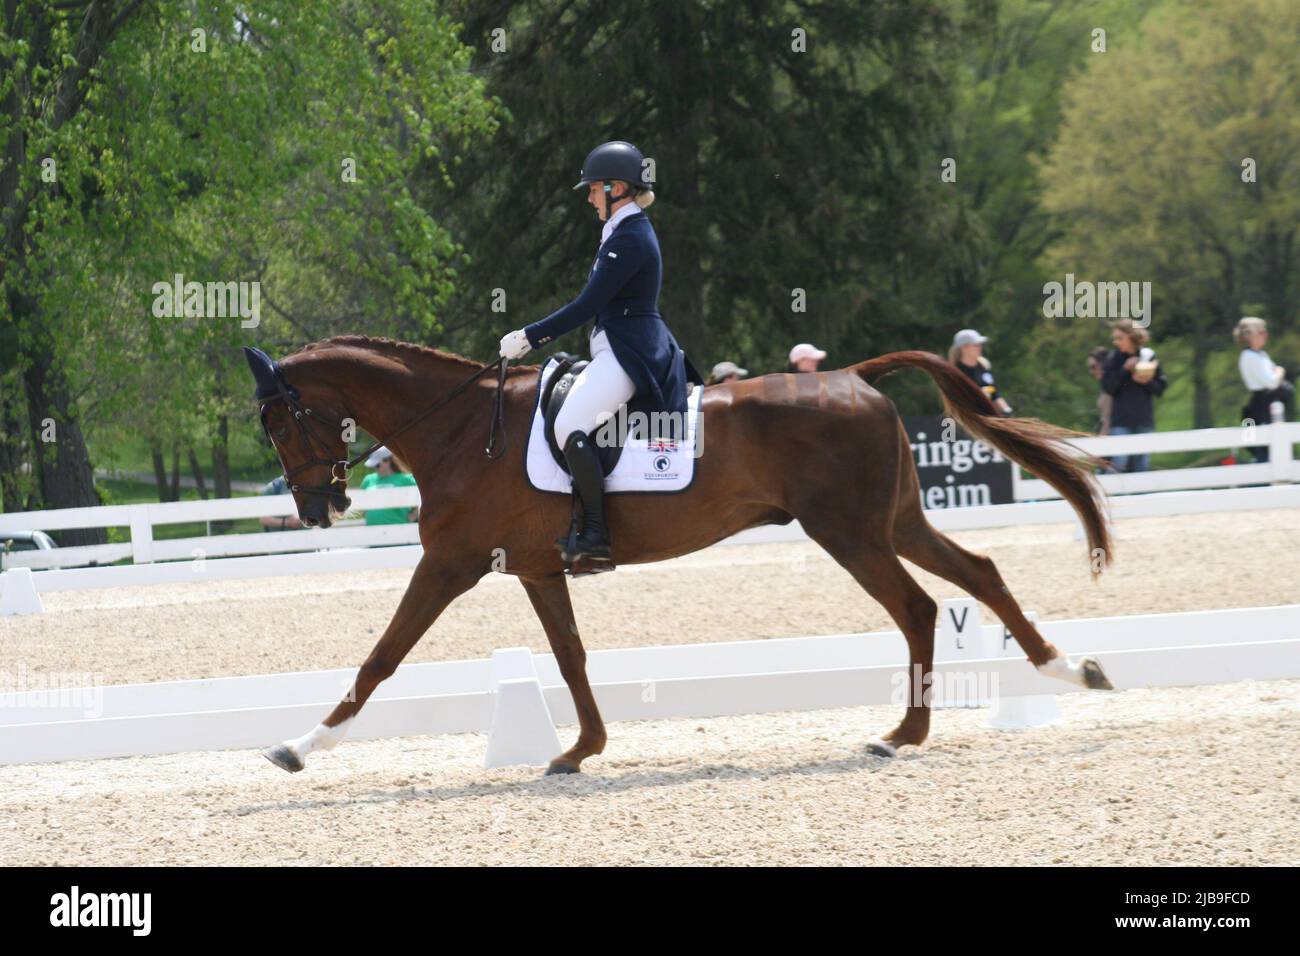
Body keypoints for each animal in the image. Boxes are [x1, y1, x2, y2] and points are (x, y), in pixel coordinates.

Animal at [244, 336, 1113, 775]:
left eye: (282, 422)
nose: (318, 508)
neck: (459, 430)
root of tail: (853, 376)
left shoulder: (451, 565)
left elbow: (381, 657)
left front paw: (299, 747)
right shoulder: (537, 568)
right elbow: (569, 657)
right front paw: (580, 750)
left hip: (850, 532)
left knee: (919, 607)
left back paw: (903, 733)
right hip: (892, 522)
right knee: (978, 577)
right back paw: (1069, 669)